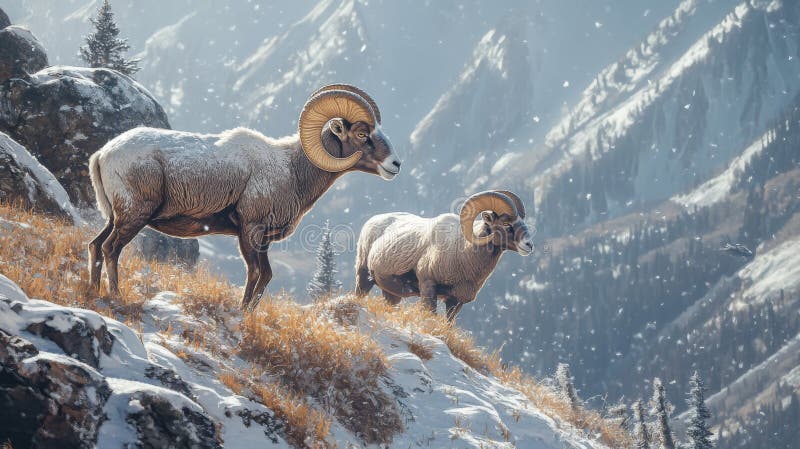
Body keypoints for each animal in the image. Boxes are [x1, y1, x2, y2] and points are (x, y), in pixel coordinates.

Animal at [88, 84, 401, 310]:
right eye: (361, 134)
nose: (395, 165)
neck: (291, 169)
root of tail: (102, 154)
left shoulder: (263, 240)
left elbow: (266, 276)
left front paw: (249, 312)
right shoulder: (250, 230)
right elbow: (254, 273)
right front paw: (241, 311)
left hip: (116, 217)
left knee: (95, 246)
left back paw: (95, 290)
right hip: (133, 216)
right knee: (111, 248)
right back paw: (116, 294)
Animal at [355, 190, 533, 321]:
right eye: (506, 223)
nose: (529, 245)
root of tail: (372, 220)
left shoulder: (455, 301)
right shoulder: (428, 287)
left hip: (392, 294)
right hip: (363, 276)